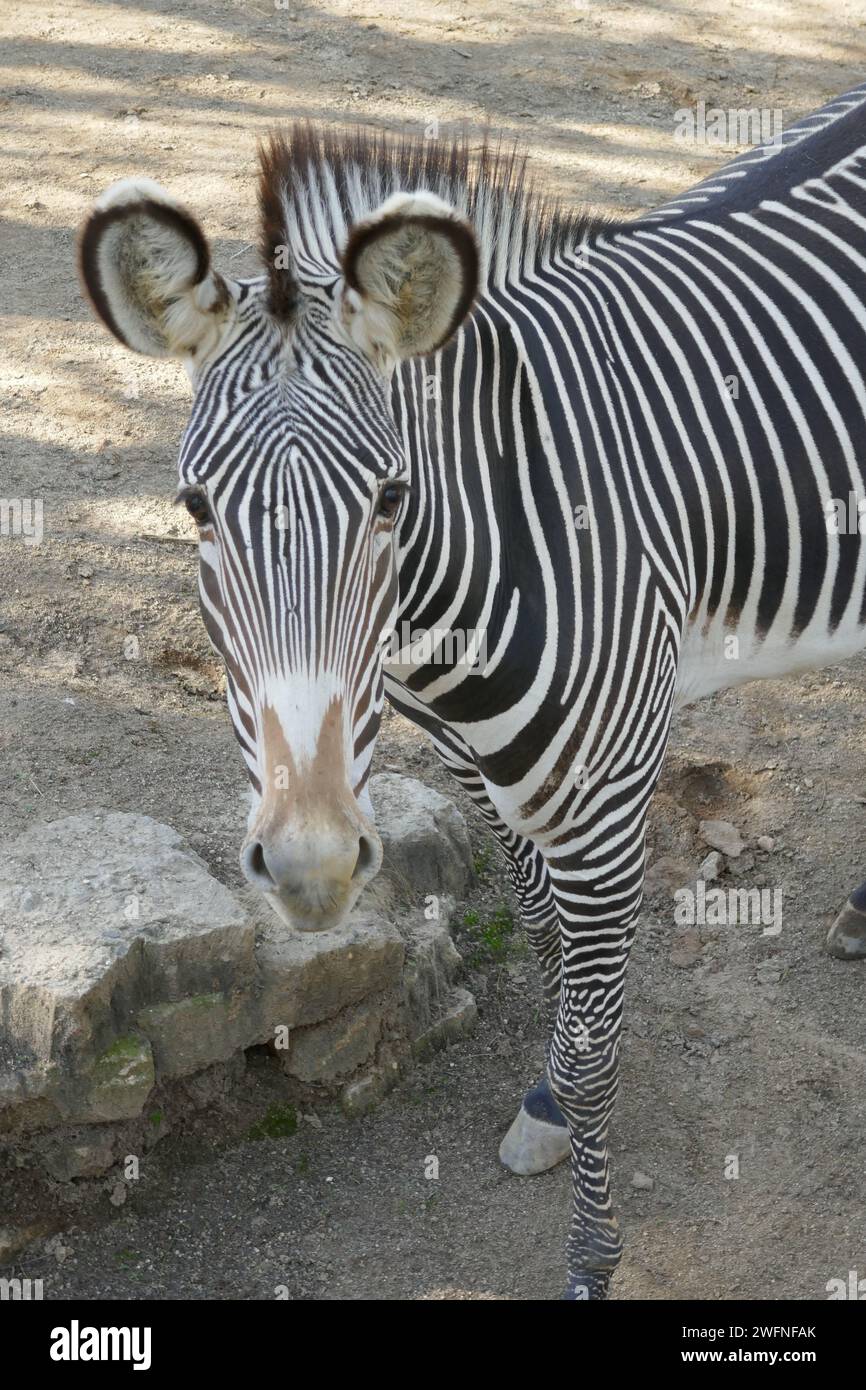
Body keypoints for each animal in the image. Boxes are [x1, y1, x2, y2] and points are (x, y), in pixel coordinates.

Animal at [78, 83, 866, 1299]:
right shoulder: (472, 771)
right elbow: (548, 954)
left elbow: (594, 1036)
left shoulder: (607, 807)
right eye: (195, 508)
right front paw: (548, 1096)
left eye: (391, 496)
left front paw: (590, 1260)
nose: (309, 867)